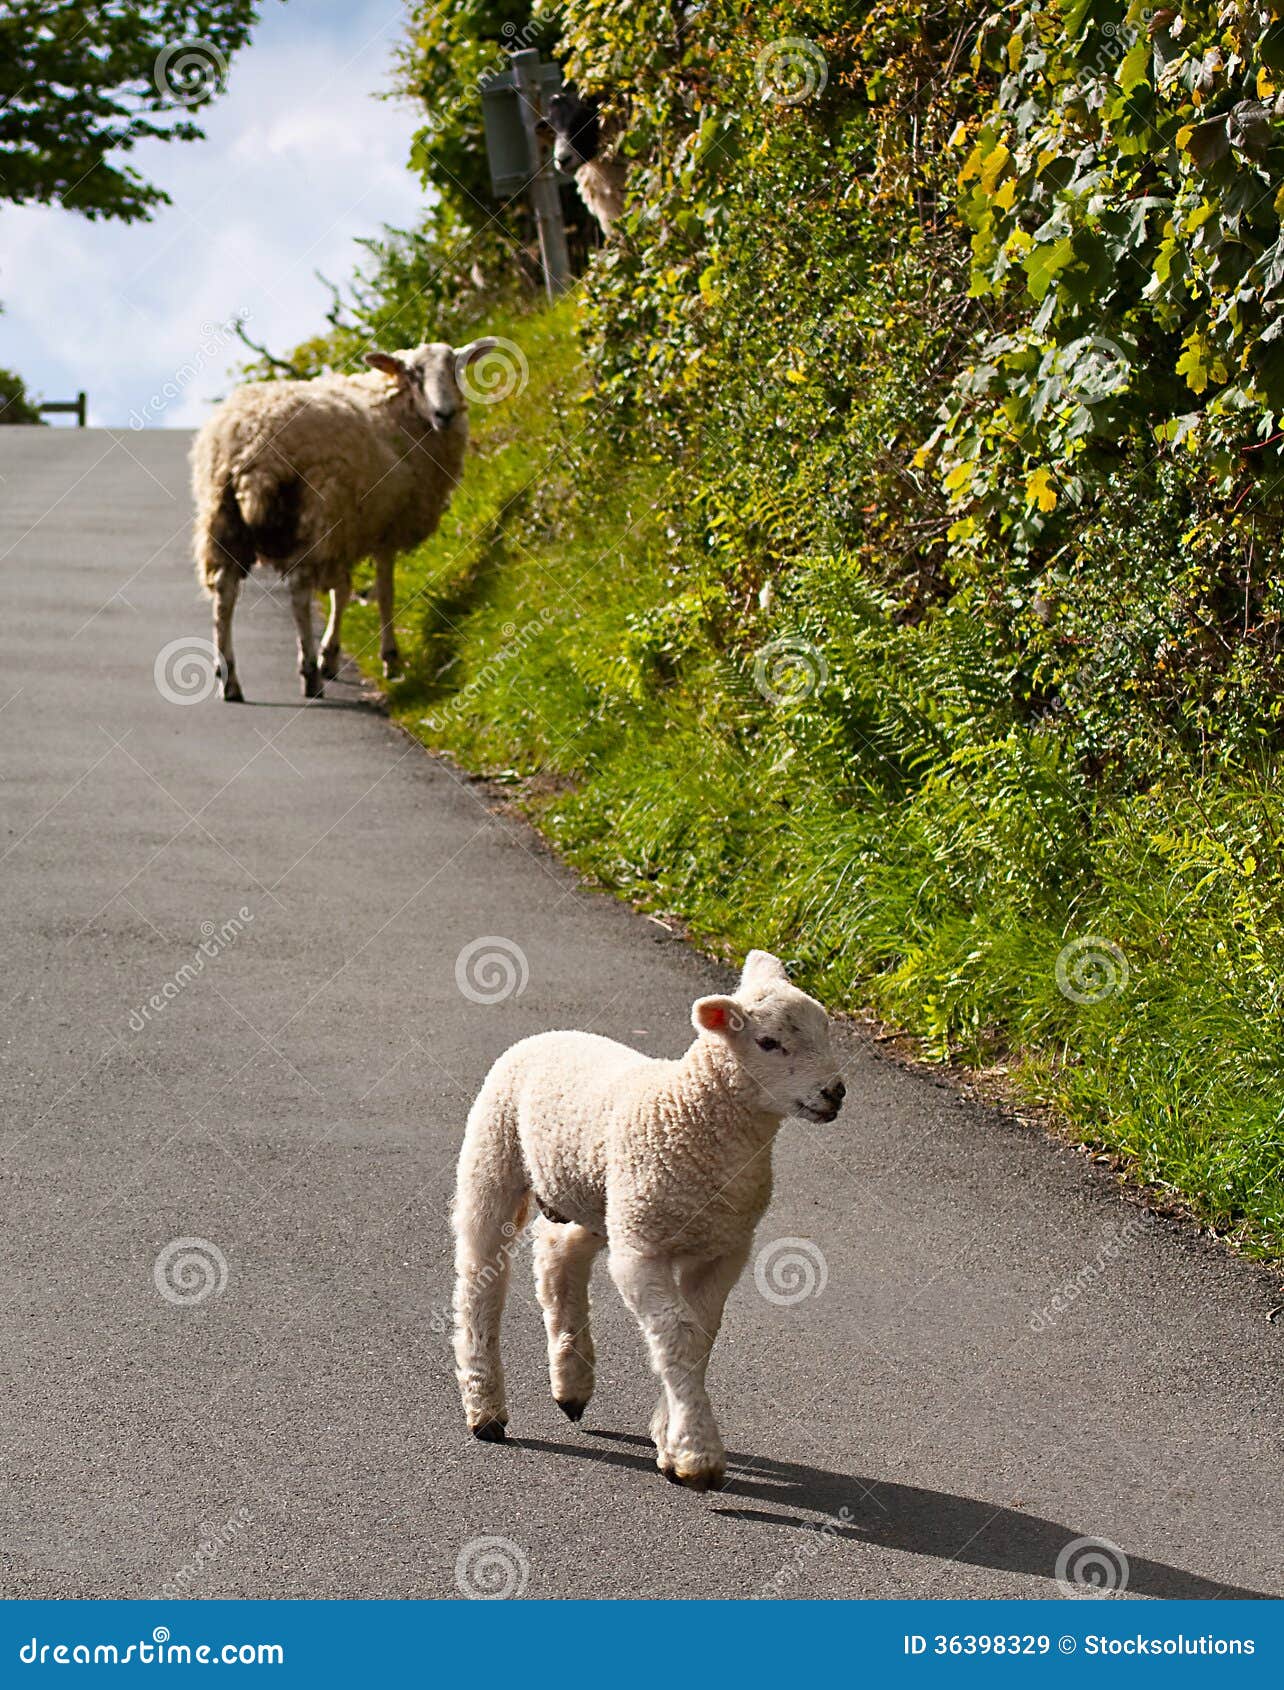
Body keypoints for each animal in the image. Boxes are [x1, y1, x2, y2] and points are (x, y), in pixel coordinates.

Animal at [190, 339, 497, 701]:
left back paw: (230, 680)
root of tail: (254, 439)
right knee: (298, 590)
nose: (445, 414)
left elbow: (343, 589)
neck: (396, 411)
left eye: (455, 368)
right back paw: (309, 675)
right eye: (413, 374)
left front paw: (331, 656)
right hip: (316, 513)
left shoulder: (349, 530)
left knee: (224, 593)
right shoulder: (384, 528)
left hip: (223, 518)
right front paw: (389, 659)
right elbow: (384, 591)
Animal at [451, 948, 847, 1490]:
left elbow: (698, 1338)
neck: (695, 1115)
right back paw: (486, 1408)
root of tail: (551, 1033)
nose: (835, 1092)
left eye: (826, 1029)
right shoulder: (642, 1250)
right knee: (479, 1278)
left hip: (601, 1198)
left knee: (558, 1254)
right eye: (769, 1042)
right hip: (494, 1153)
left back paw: (571, 1382)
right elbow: (676, 1336)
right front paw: (698, 1455)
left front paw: (670, 1438)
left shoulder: (724, 1249)